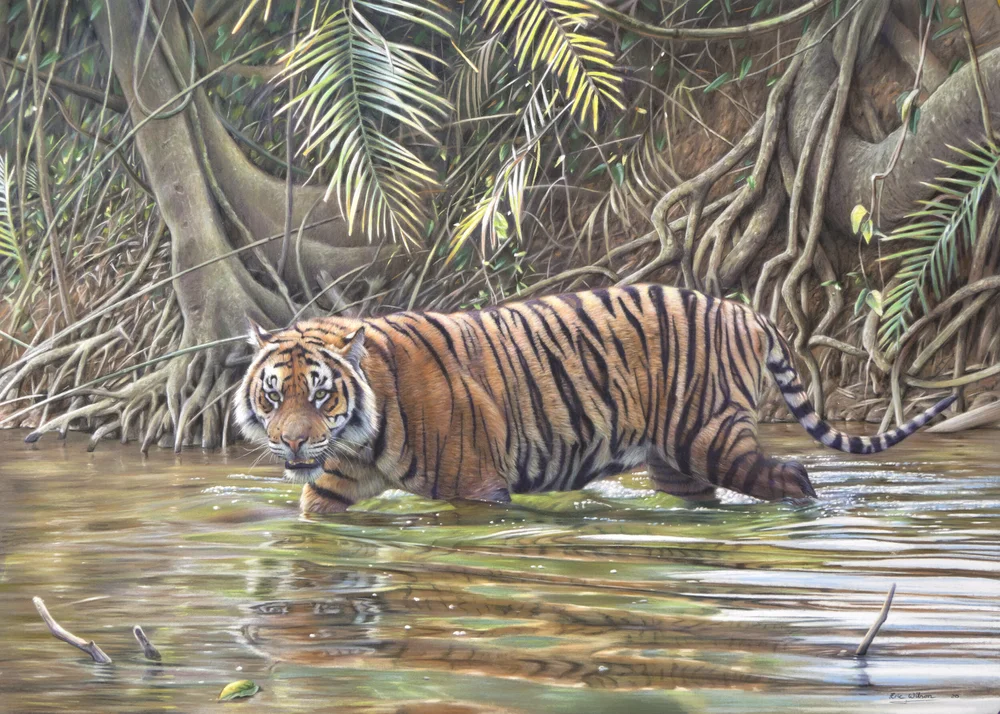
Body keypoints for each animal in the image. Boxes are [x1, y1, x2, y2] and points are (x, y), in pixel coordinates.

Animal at [234, 285, 954, 514]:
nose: (293, 441)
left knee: (792, 474)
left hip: (712, 437)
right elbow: (314, 514)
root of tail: (744, 310)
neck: (361, 433)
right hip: (676, 463)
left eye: (320, 395)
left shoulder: (476, 487)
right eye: (273, 397)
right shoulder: (332, 486)